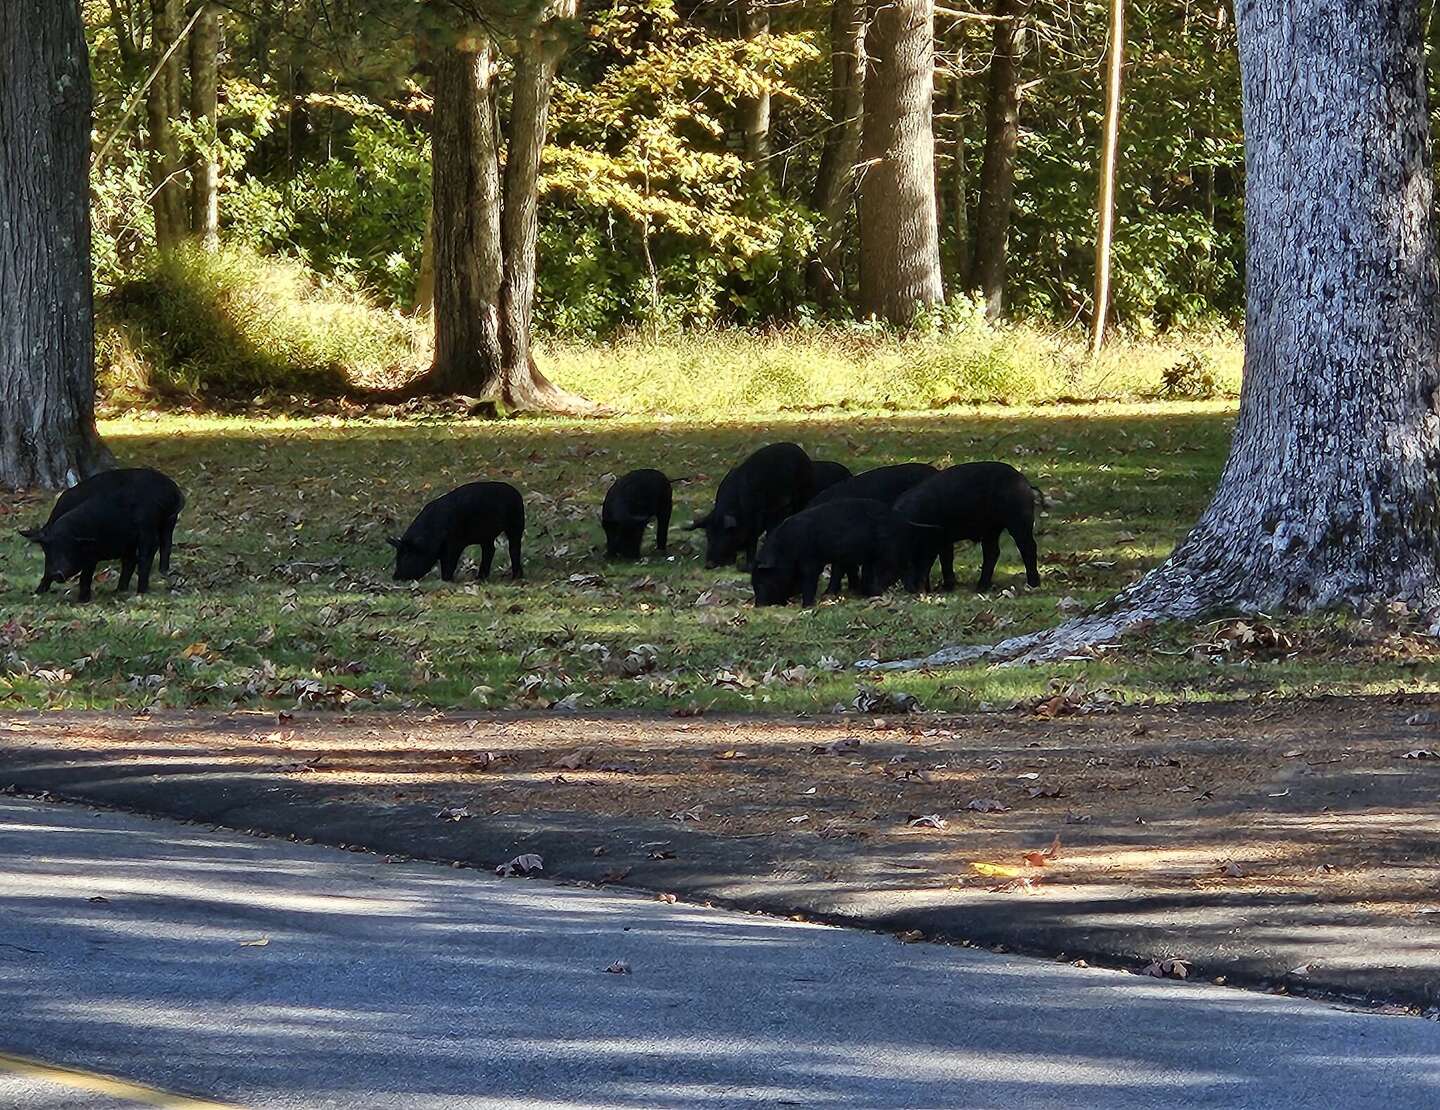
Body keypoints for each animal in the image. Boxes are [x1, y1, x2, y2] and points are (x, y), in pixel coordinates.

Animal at [22, 470, 185, 602]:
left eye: (69, 550)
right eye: (49, 550)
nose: (58, 573)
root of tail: (174, 490)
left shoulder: (91, 554)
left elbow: (85, 577)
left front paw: (82, 601)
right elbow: (46, 570)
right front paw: (36, 593)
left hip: (153, 527)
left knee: (152, 553)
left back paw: (142, 590)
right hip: (157, 528)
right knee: (136, 558)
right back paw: (119, 590)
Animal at [389, 481, 524, 582]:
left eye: (407, 555)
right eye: (397, 556)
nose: (395, 577)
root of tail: (516, 492)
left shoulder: (454, 544)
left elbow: (449, 563)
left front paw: (446, 580)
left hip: (516, 523)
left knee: (514, 548)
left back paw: (515, 577)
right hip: (487, 535)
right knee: (490, 550)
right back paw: (480, 578)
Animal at [751, 498, 915, 607]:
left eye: (763, 580)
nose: (758, 605)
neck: (786, 551)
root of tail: (899, 519)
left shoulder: (810, 559)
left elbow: (810, 579)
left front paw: (807, 606)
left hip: (886, 551)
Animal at [893, 461, 1040, 592]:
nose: (912, 590)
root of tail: (1025, 483)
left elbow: (943, 560)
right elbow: (945, 559)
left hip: (1018, 521)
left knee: (1028, 547)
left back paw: (1032, 584)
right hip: (991, 529)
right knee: (992, 552)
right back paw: (980, 588)